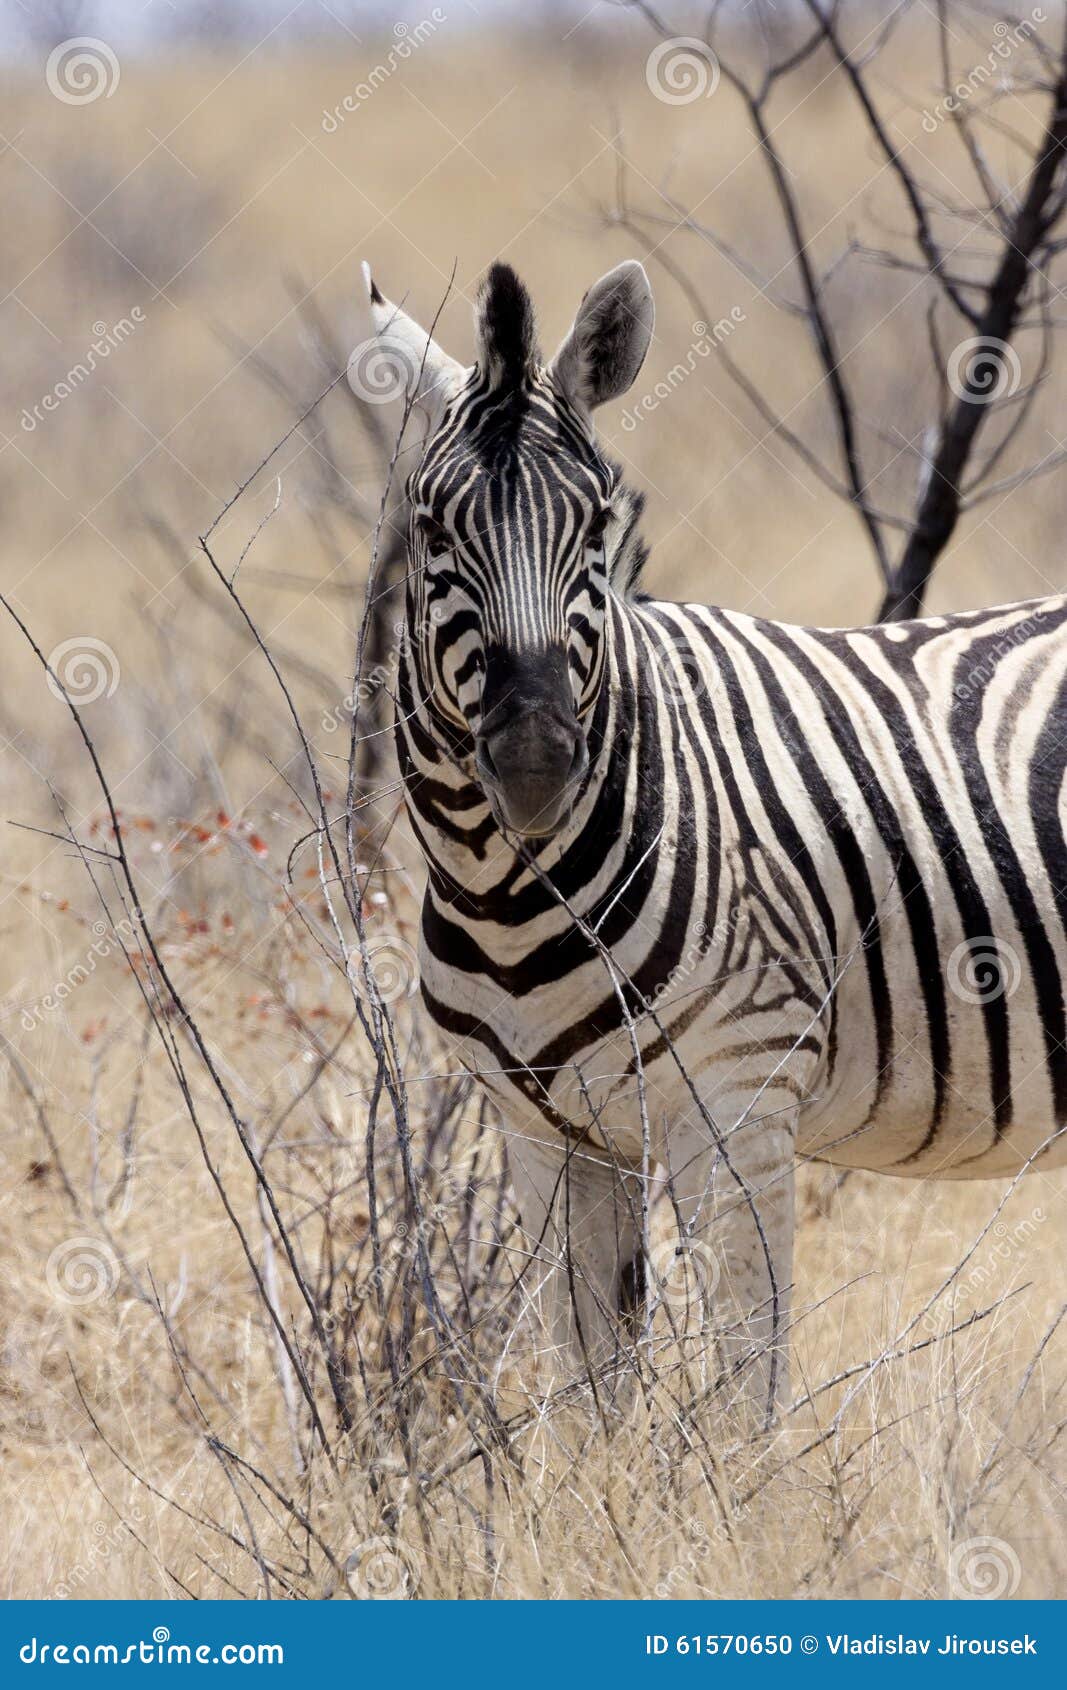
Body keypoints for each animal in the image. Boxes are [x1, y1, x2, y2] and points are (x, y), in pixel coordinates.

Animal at [358, 255, 1067, 1421]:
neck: (513, 895)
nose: (536, 759)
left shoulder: (742, 1103)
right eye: (431, 530)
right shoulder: (543, 1135)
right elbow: (587, 1398)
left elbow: (740, 1404)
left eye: (600, 525)